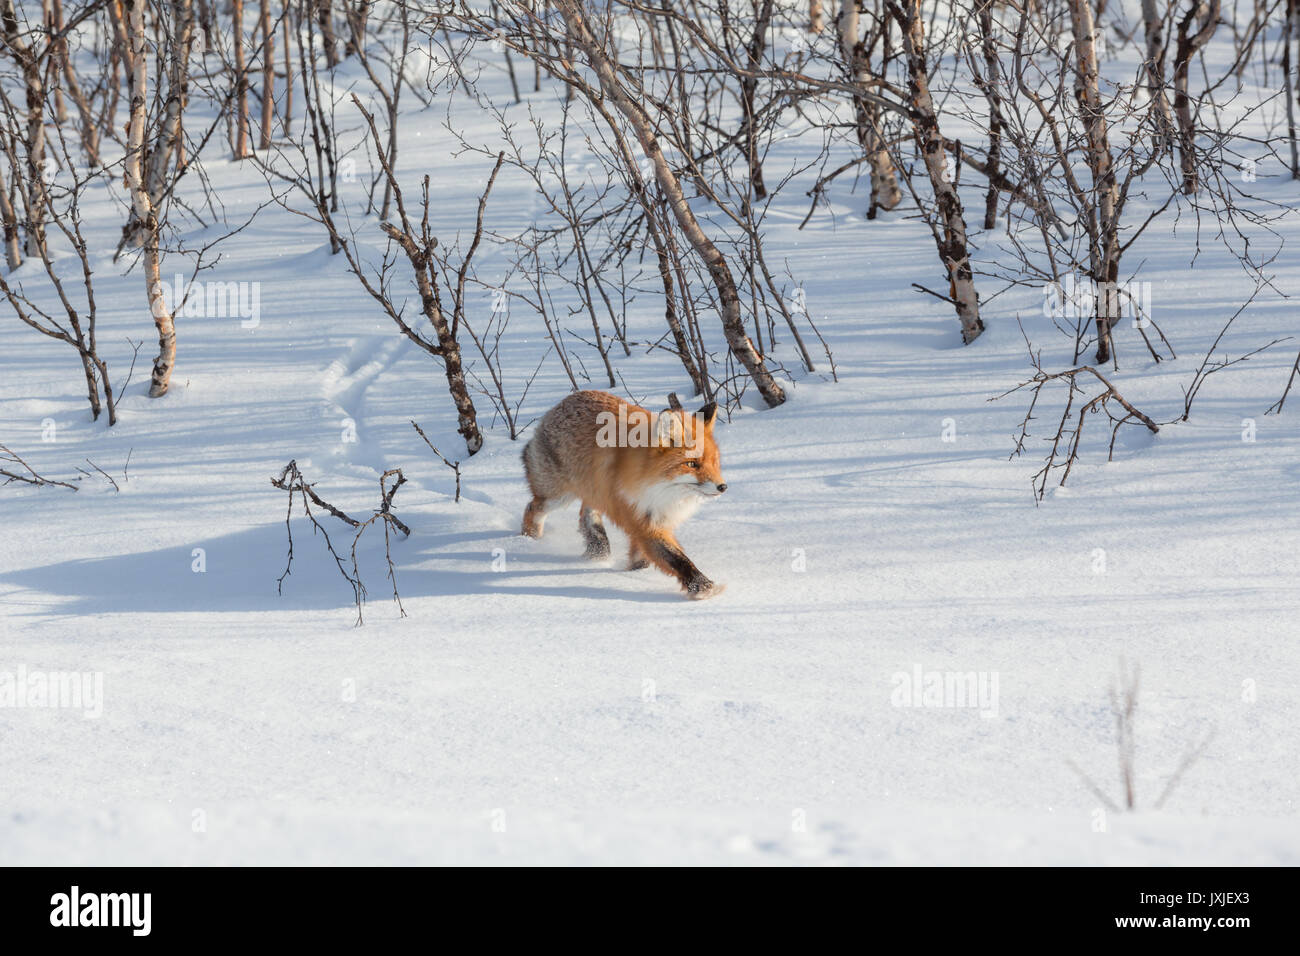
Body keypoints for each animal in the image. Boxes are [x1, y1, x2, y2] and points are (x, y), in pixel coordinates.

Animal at [521, 390, 728, 599]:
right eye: (692, 464)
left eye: (715, 463)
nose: (723, 487)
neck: (659, 488)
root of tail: (565, 400)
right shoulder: (644, 523)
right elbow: (677, 559)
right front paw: (703, 587)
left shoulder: (652, 518)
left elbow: (642, 557)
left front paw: (635, 572)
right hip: (557, 496)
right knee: (532, 509)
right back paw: (529, 541)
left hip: (595, 489)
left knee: (586, 515)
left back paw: (598, 551)